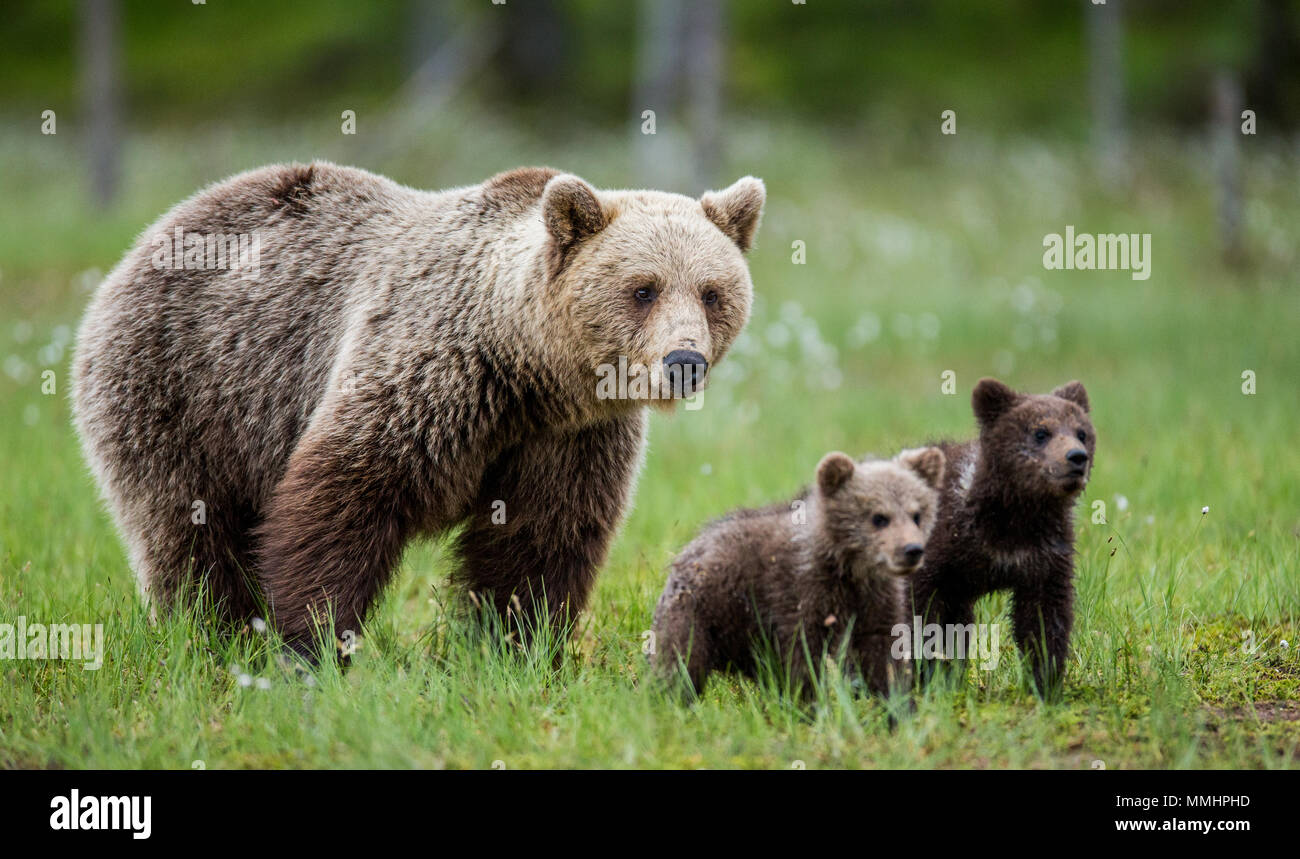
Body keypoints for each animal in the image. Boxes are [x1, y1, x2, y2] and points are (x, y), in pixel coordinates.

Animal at [71, 162, 766, 657]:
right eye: (643, 289)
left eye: (711, 292)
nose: (684, 361)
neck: (528, 369)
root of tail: (157, 230)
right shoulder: (430, 374)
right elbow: (343, 497)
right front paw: (309, 641)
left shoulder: (569, 436)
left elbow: (538, 539)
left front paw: (513, 646)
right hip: (187, 384)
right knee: (188, 527)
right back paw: (215, 633)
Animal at [651, 447, 945, 700]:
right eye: (879, 517)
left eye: (917, 514)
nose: (912, 549)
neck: (850, 569)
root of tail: (684, 553)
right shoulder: (798, 592)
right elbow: (802, 656)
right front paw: (808, 706)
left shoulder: (875, 600)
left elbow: (885, 654)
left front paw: (897, 707)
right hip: (701, 612)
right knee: (681, 663)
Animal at [907, 377, 1095, 697]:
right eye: (1041, 432)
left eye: (1081, 432)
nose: (1076, 457)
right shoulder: (940, 552)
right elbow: (922, 614)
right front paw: (925, 675)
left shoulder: (1044, 554)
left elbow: (1043, 616)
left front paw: (1045, 681)